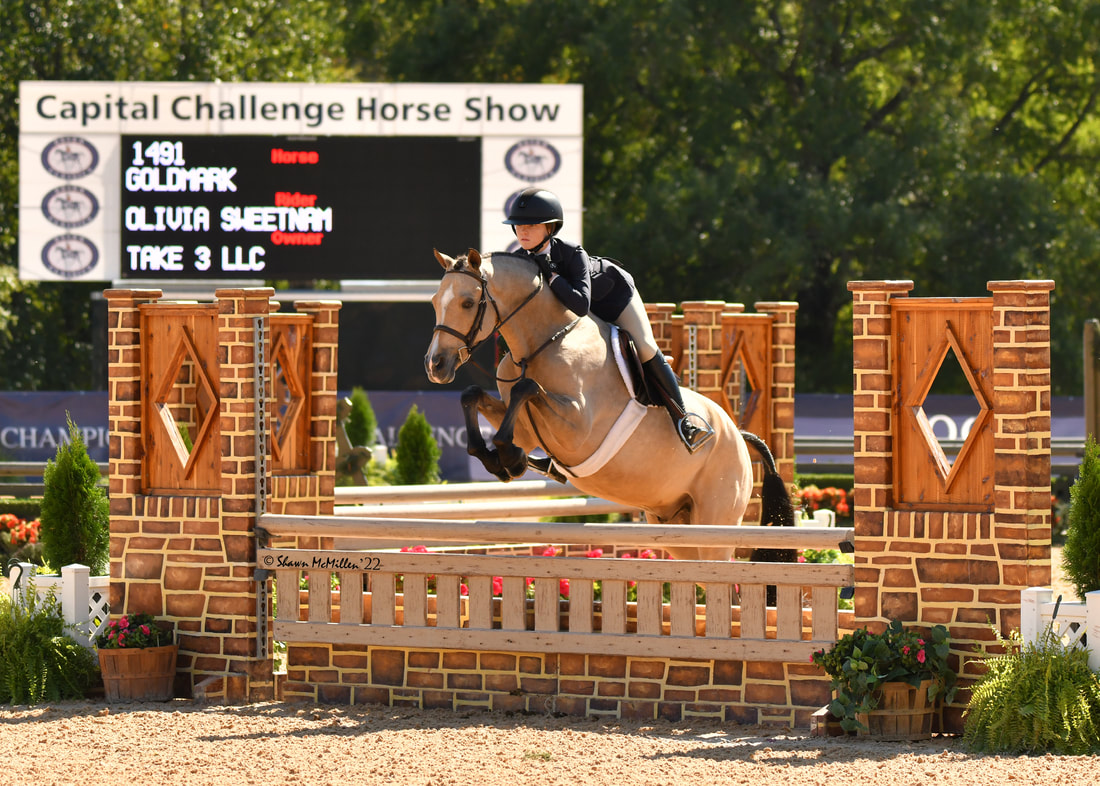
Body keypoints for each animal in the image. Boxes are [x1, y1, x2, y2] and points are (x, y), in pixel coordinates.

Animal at [424, 249, 795, 561]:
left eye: (468, 303)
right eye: (435, 301)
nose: (436, 366)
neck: (542, 343)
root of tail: (739, 436)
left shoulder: (579, 431)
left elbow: (526, 389)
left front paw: (509, 458)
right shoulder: (529, 430)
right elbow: (473, 395)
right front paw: (497, 458)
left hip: (715, 525)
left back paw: (691, 430)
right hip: (678, 528)